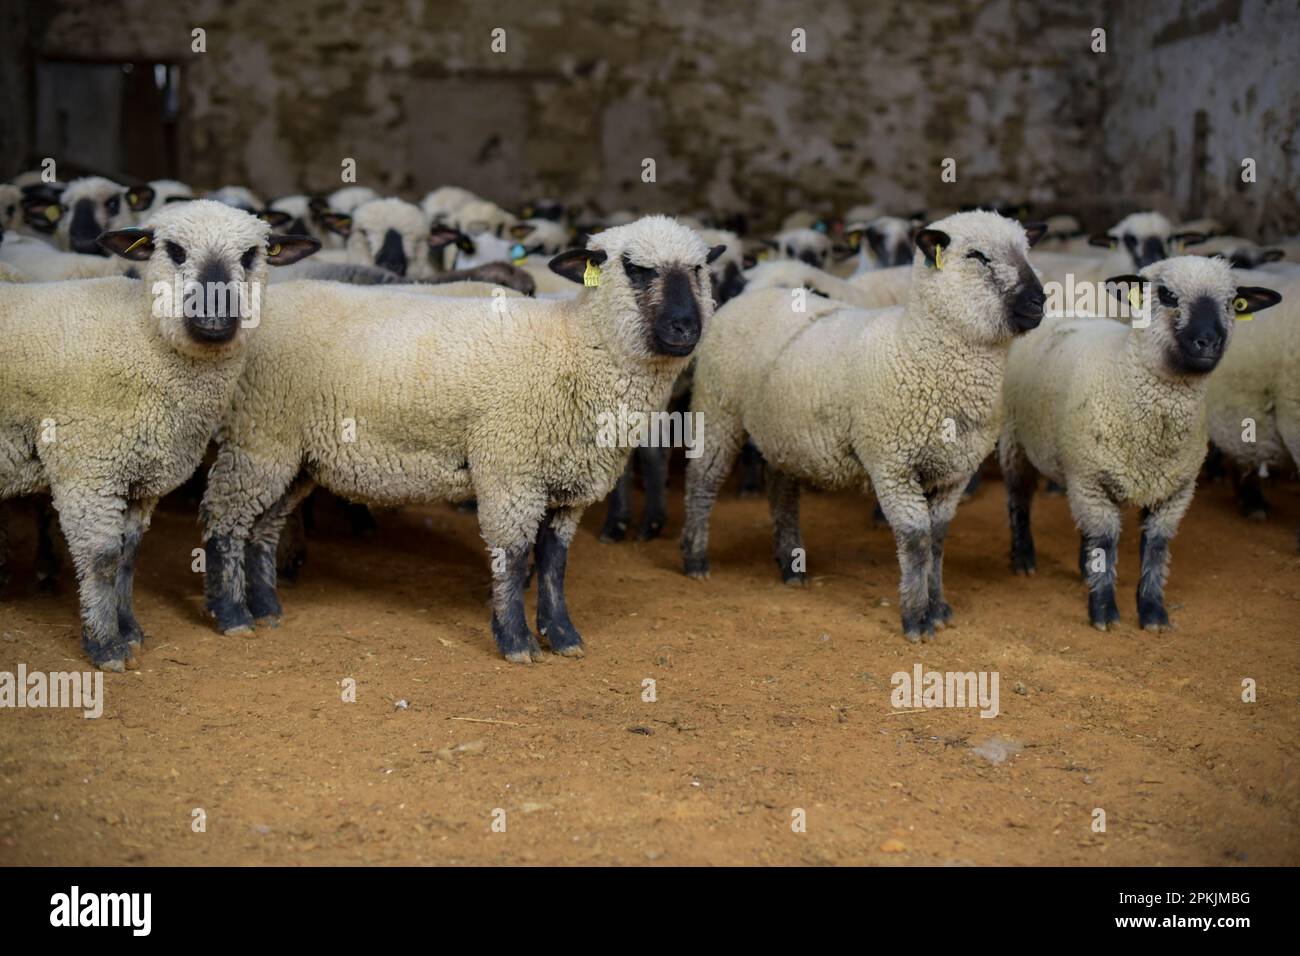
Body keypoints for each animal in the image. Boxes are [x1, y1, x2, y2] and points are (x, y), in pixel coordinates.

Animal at [0, 199, 319, 669]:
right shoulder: (87, 469)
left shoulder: (141, 475)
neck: (141, 339)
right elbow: (102, 558)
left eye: (250, 256)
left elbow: (129, 554)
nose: (213, 318)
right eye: (173, 250)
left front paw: (129, 630)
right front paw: (105, 646)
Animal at [199, 215, 725, 662]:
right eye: (635, 268)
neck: (577, 346)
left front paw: (562, 635)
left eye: (699, 268)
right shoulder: (510, 470)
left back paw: (268, 608)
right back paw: (233, 614)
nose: (686, 327)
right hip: (260, 436)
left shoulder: (569, 483)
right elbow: (513, 556)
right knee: (226, 520)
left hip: (297, 456)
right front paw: (515, 642)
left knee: (264, 526)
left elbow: (554, 562)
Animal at [681, 211, 1048, 642]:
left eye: (1027, 250)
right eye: (977, 256)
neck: (920, 351)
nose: (1038, 300)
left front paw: (938, 608)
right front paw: (916, 618)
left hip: (782, 429)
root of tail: (748, 296)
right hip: (716, 407)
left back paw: (790, 564)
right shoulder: (892, 465)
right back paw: (695, 559)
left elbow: (938, 538)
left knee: (781, 488)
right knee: (703, 481)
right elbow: (916, 538)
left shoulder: (954, 473)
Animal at [999, 257, 1283, 630]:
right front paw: (1104, 612)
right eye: (1167, 295)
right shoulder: (1091, 481)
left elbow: (1155, 547)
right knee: (1019, 498)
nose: (1208, 342)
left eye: (1232, 303)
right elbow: (1105, 543)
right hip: (1015, 442)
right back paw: (1022, 559)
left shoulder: (1173, 491)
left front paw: (1152, 612)